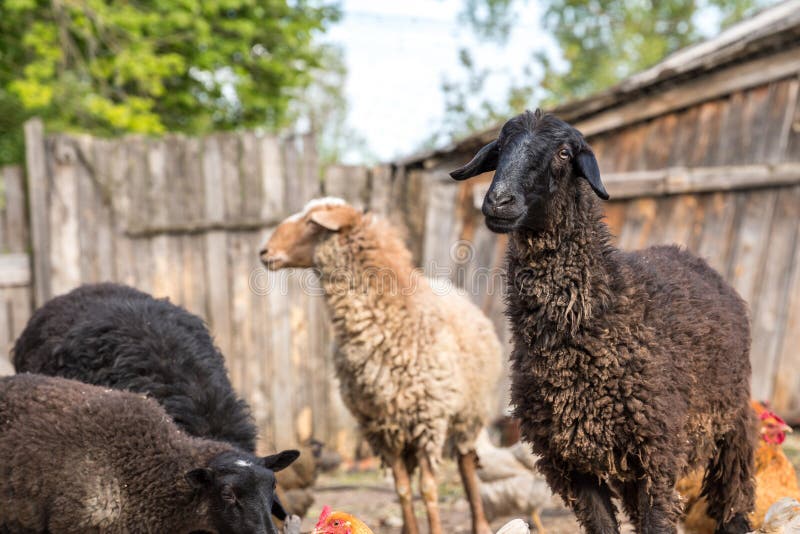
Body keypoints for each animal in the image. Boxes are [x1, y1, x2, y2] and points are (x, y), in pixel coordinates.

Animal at [259, 198, 503, 534]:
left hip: (468, 414)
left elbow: (428, 489)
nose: (265, 251)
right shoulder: (381, 428)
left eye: (312, 222)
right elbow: (402, 490)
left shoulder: (429, 420)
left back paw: (480, 523)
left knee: (467, 468)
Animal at [450, 110, 756, 534]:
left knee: (734, 500)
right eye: (500, 148)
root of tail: (691, 256)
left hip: (732, 424)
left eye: (564, 153)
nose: (498, 202)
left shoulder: (657, 453)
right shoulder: (571, 463)